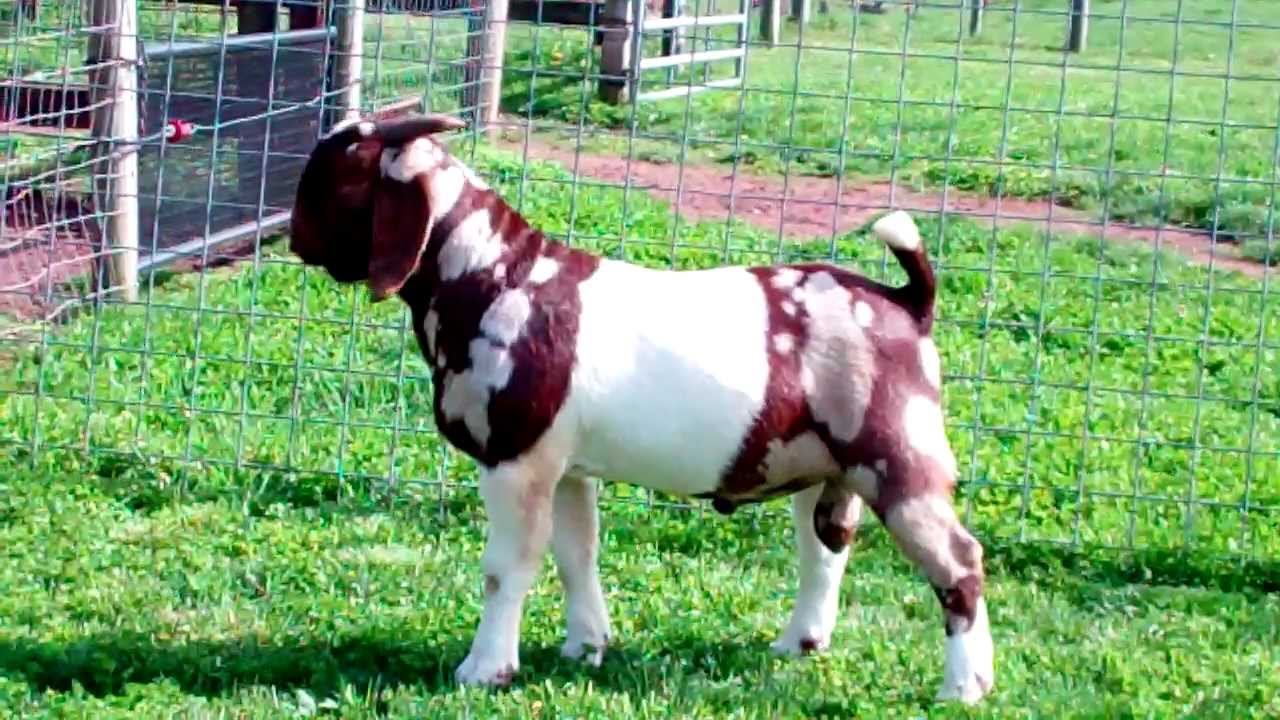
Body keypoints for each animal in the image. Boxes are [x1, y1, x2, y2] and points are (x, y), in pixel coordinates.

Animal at [289, 113, 995, 704]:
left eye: (335, 177)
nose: (293, 237)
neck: (497, 278)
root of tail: (907, 302)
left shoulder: (515, 460)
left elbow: (506, 568)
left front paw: (485, 669)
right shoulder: (566, 467)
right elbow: (576, 555)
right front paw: (584, 648)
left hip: (901, 459)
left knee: (959, 561)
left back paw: (964, 688)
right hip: (831, 466)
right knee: (827, 544)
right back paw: (802, 644)